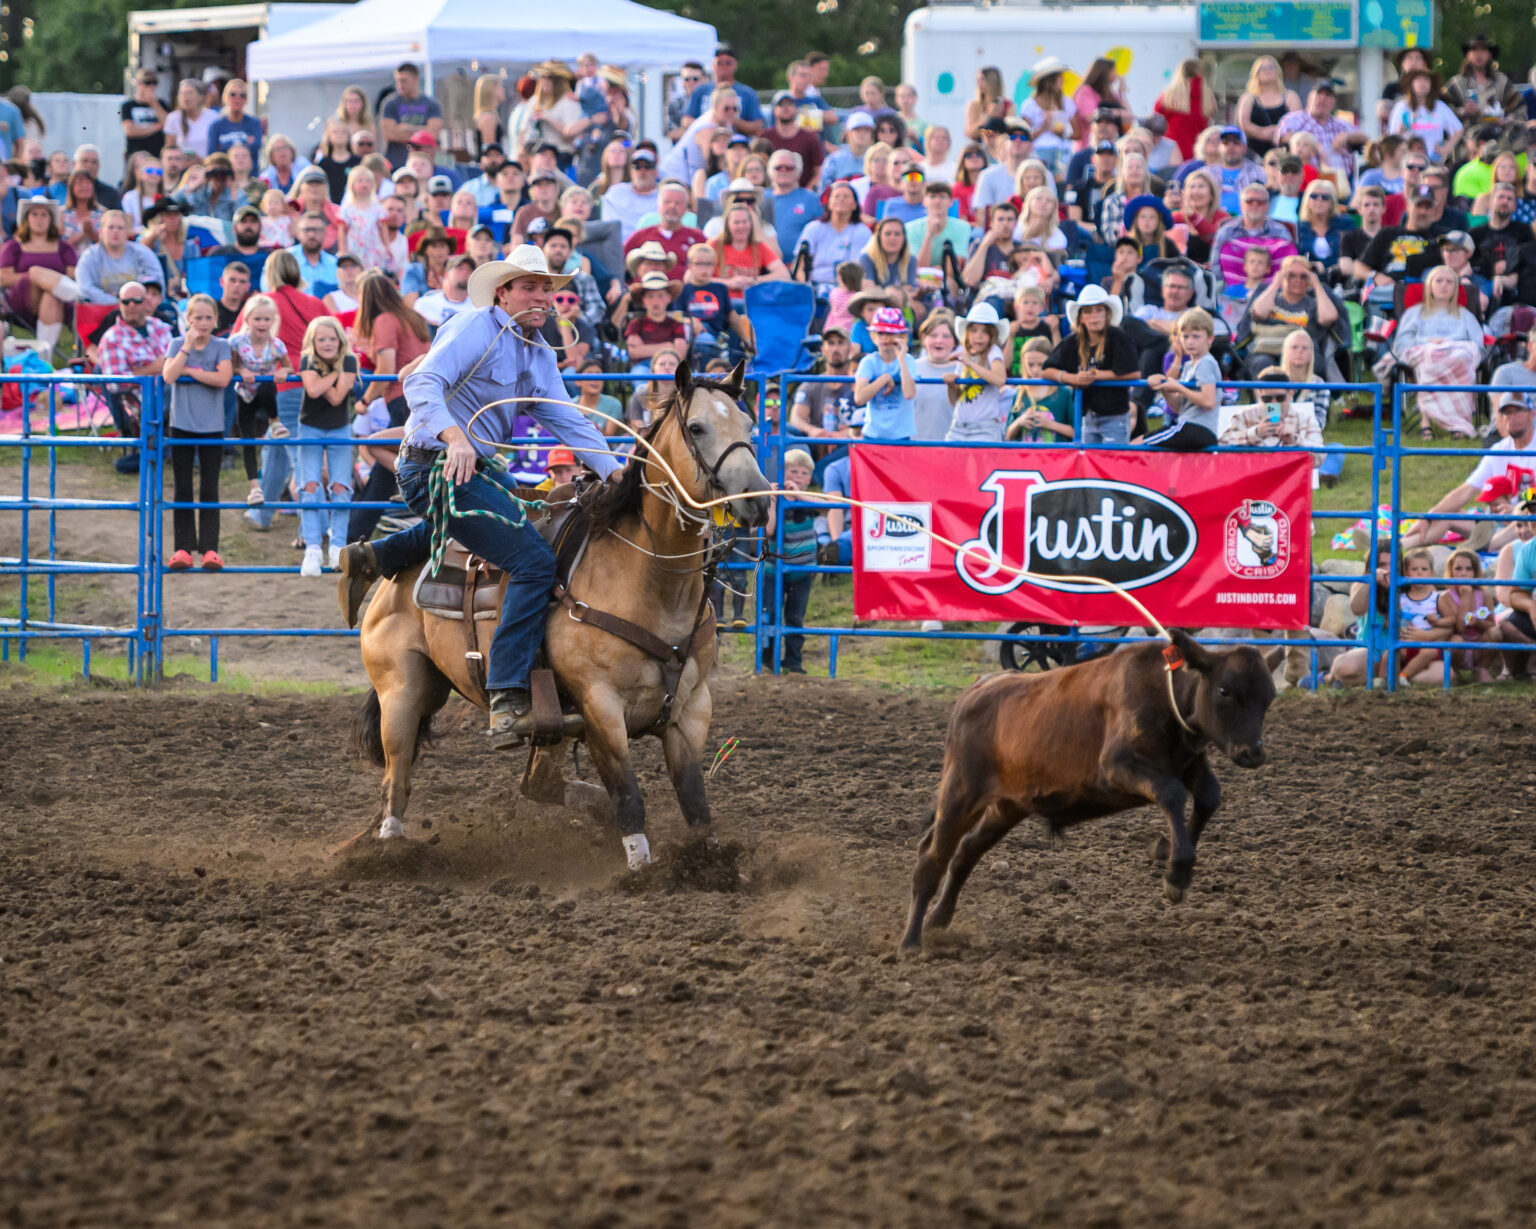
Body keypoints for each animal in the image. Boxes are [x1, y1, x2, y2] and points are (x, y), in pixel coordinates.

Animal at [901, 629, 1282, 953]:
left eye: (1269, 698)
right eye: (1224, 691)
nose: (1253, 753)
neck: (1164, 692)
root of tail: (979, 687)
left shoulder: (1189, 763)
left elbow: (1209, 797)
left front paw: (1165, 849)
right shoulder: (1118, 766)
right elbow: (1172, 794)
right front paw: (1176, 875)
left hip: (1007, 805)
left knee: (965, 852)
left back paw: (938, 919)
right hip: (961, 792)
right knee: (932, 858)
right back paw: (910, 941)